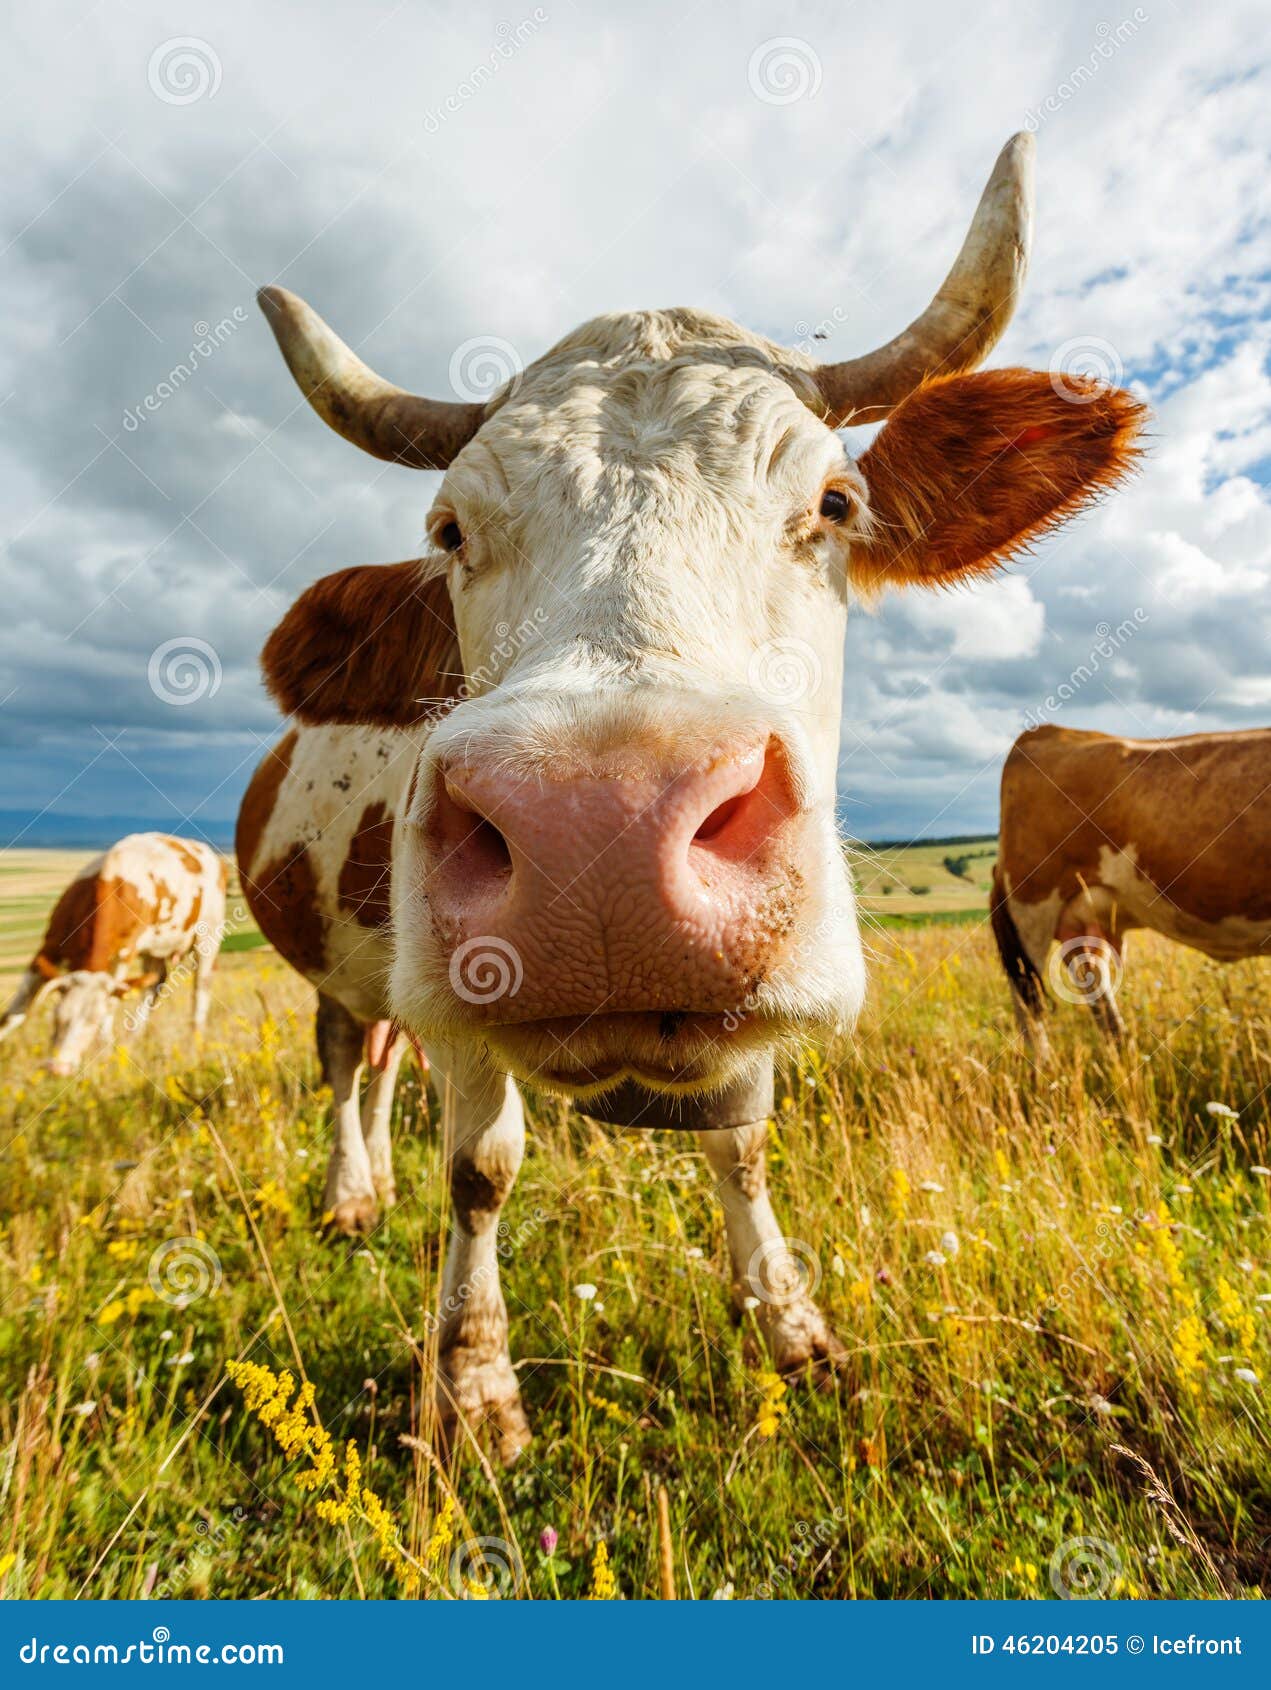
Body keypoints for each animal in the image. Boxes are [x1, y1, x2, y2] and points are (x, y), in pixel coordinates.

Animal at [0, 833, 227, 1075]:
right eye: (57, 1014)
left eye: (92, 1022)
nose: (59, 1068)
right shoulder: (49, 945)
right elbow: (14, 1013)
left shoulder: (123, 954)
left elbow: (110, 1006)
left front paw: (105, 1055)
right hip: (154, 949)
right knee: (154, 983)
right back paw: (133, 1041)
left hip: (208, 937)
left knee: (200, 990)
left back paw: (195, 1044)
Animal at [238, 134, 1145, 1462]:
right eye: (449, 530)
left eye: (833, 504)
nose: (600, 837)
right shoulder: (457, 1005)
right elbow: (482, 1167)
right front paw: (472, 1393)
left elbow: (744, 1141)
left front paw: (792, 1325)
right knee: (350, 1058)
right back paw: (354, 1194)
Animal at [991, 725, 1271, 1050]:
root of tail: (1048, 732)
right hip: (1031, 907)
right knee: (1029, 1002)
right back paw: (1046, 1064)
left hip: (1080, 918)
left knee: (1093, 985)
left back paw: (1120, 1049)